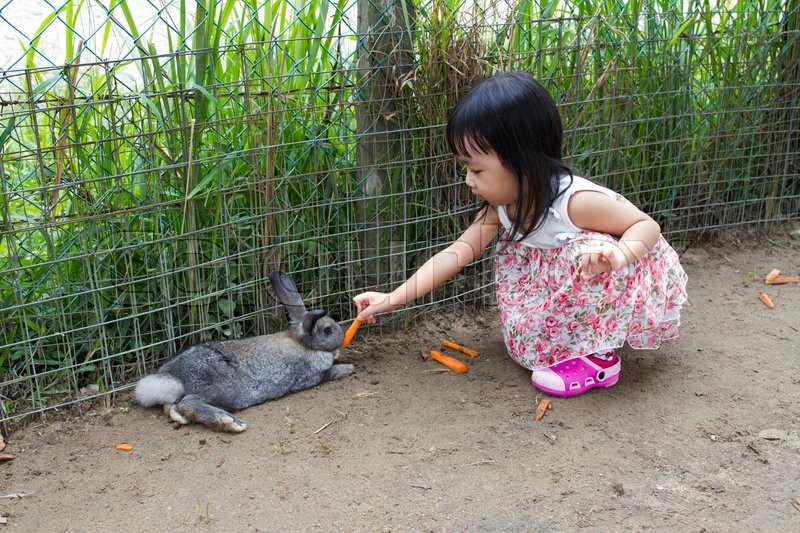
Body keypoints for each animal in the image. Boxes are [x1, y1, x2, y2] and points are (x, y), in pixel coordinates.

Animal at [134, 270, 354, 432]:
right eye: (327, 330)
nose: (342, 336)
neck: (302, 343)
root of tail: (175, 378)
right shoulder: (313, 376)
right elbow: (331, 372)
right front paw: (349, 368)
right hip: (223, 390)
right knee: (188, 403)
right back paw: (229, 422)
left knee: (172, 405)